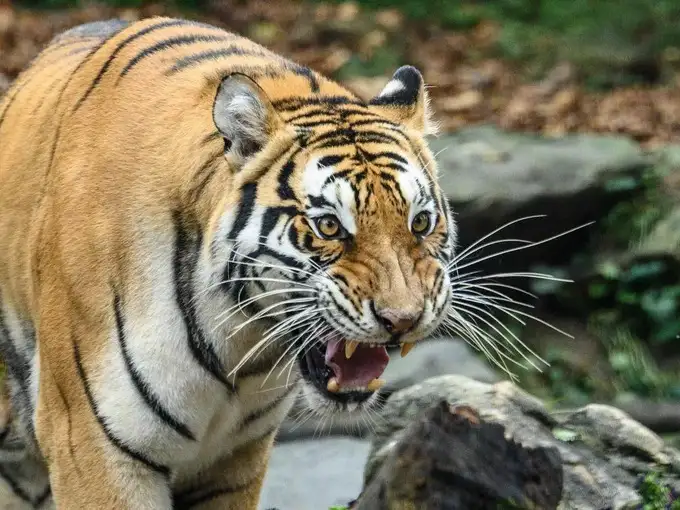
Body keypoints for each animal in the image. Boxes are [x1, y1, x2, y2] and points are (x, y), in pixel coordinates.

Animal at [0, 16, 455, 510]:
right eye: (329, 226)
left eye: (421, 222)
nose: (403, 320)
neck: (236, 346)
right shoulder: (92, 446)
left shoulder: (235, 461)